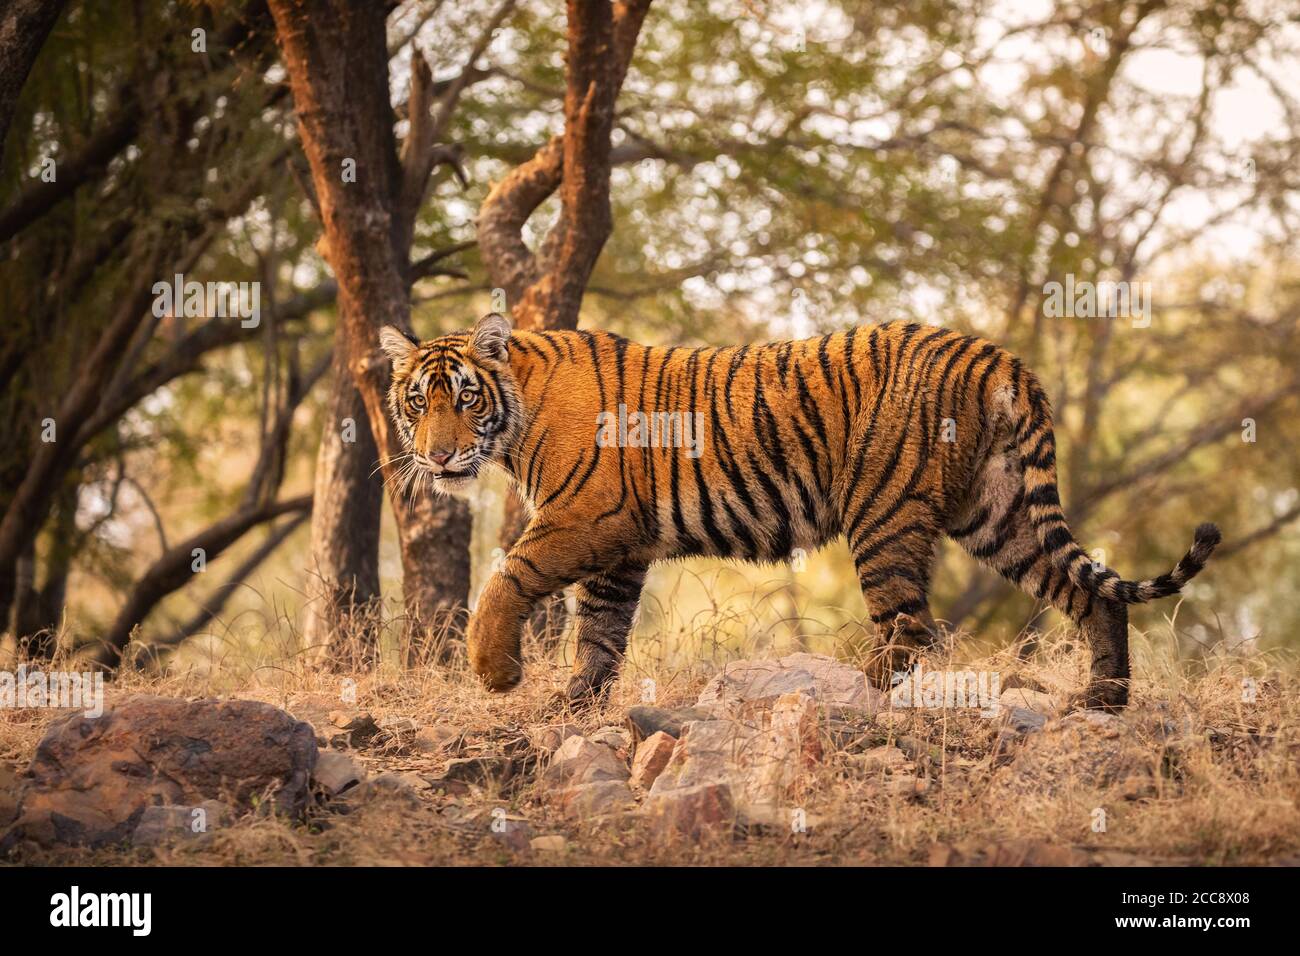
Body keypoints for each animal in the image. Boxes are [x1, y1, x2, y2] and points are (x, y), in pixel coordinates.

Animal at [379, 313, 1221, 711]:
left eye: (465, 399)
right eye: (417, 403)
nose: (439, 457)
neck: (515, 414)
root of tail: (999, 357)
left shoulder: (589, 516)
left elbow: (508, 575)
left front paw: (496, 673)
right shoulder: (622, 546)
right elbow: (600, 634)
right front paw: (574, 704)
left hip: (884, 512)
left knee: (909, 627)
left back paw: (862, 697)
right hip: (1000, 512)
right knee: (1091, 596)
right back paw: (1103, 702)